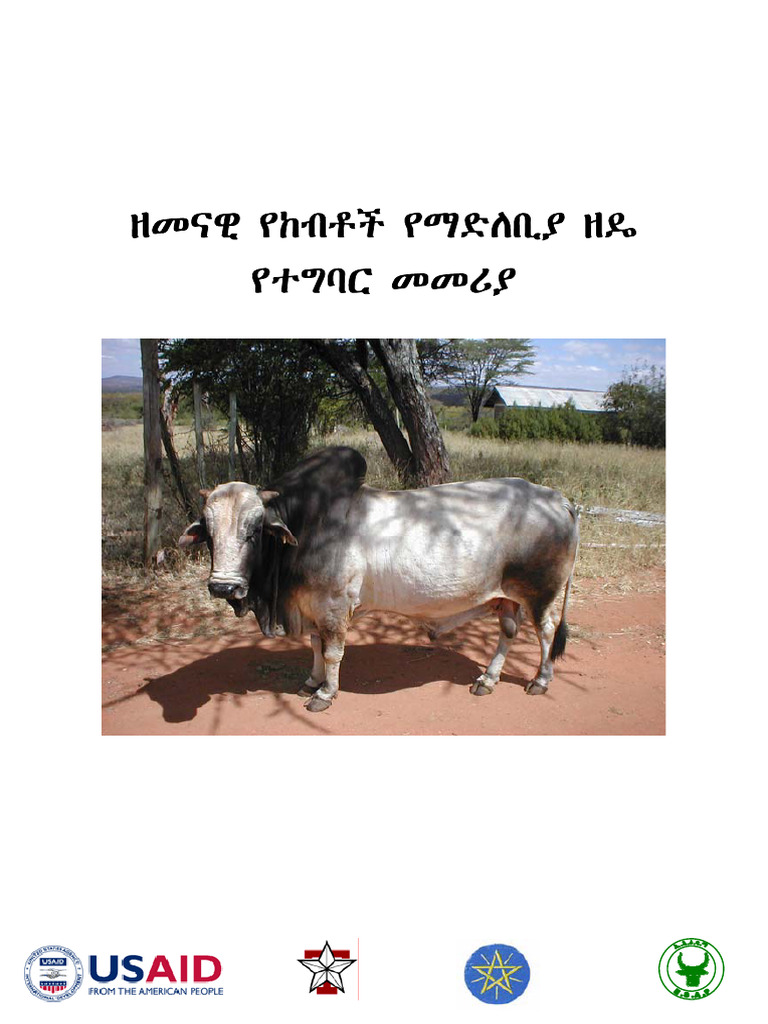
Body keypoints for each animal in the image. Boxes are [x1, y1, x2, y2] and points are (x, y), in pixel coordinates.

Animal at [179, 446, 579, 713]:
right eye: (209, 534)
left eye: (254, 531)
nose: (223, 586)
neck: (306, 524)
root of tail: (558, 498)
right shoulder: (313, 606)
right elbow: (315, 646)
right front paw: (312, 680)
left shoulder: (334, 605)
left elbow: (333, 652)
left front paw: (325, 693)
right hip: (506, 596)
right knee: (508, 633)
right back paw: (487, 680)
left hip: (540, 593)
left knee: (545, 634)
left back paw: (540, 680)